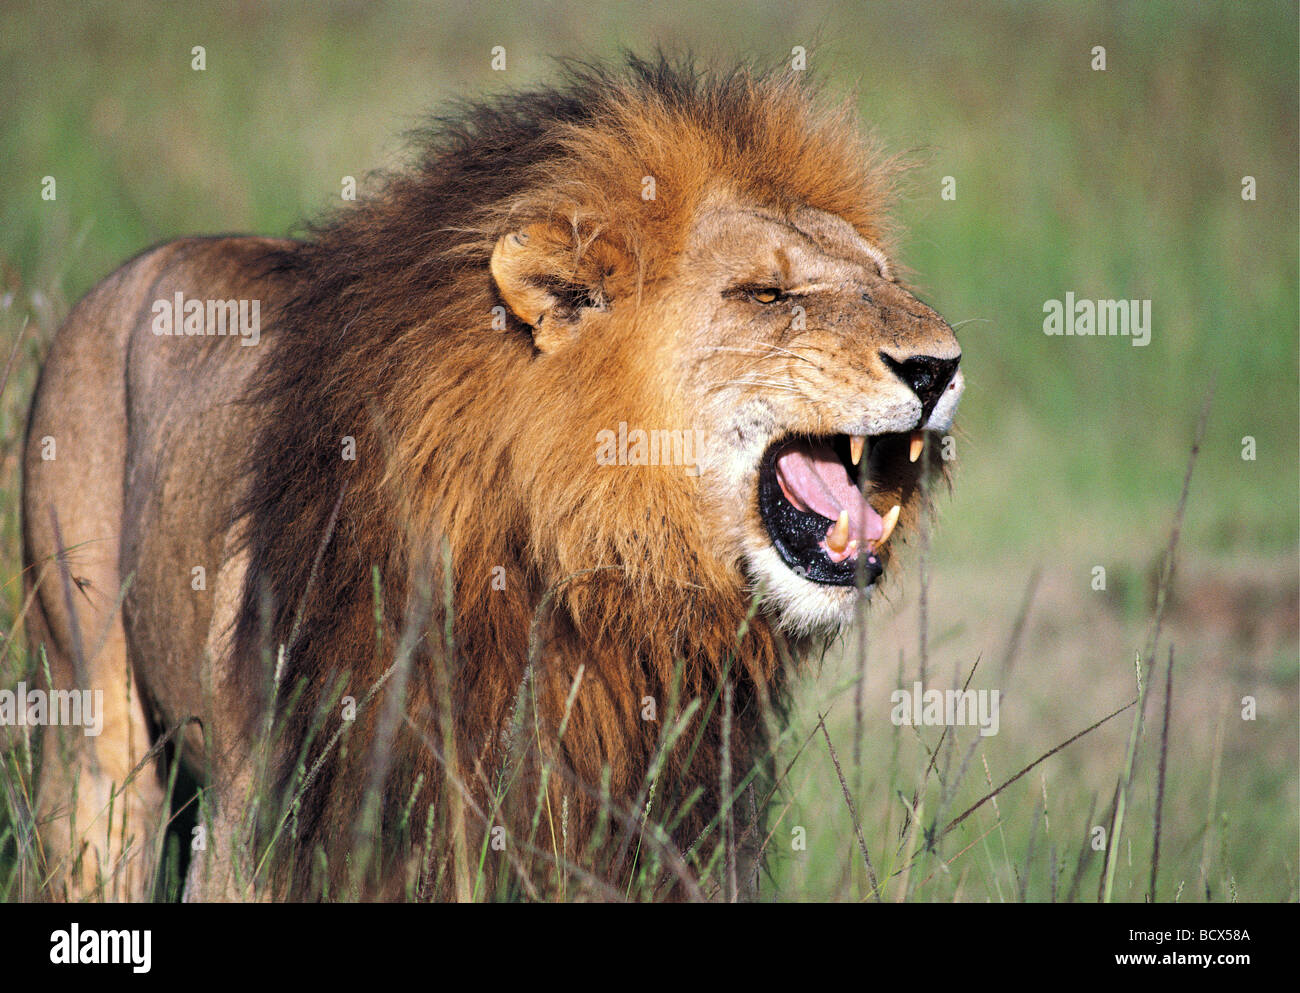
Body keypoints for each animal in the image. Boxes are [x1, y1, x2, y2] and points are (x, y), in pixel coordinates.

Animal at [21, 54, 962, 901]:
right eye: (766, 295)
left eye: (884, 278)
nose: (940, 367)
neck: (595, 580)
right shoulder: (276, 825)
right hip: (92, 734)